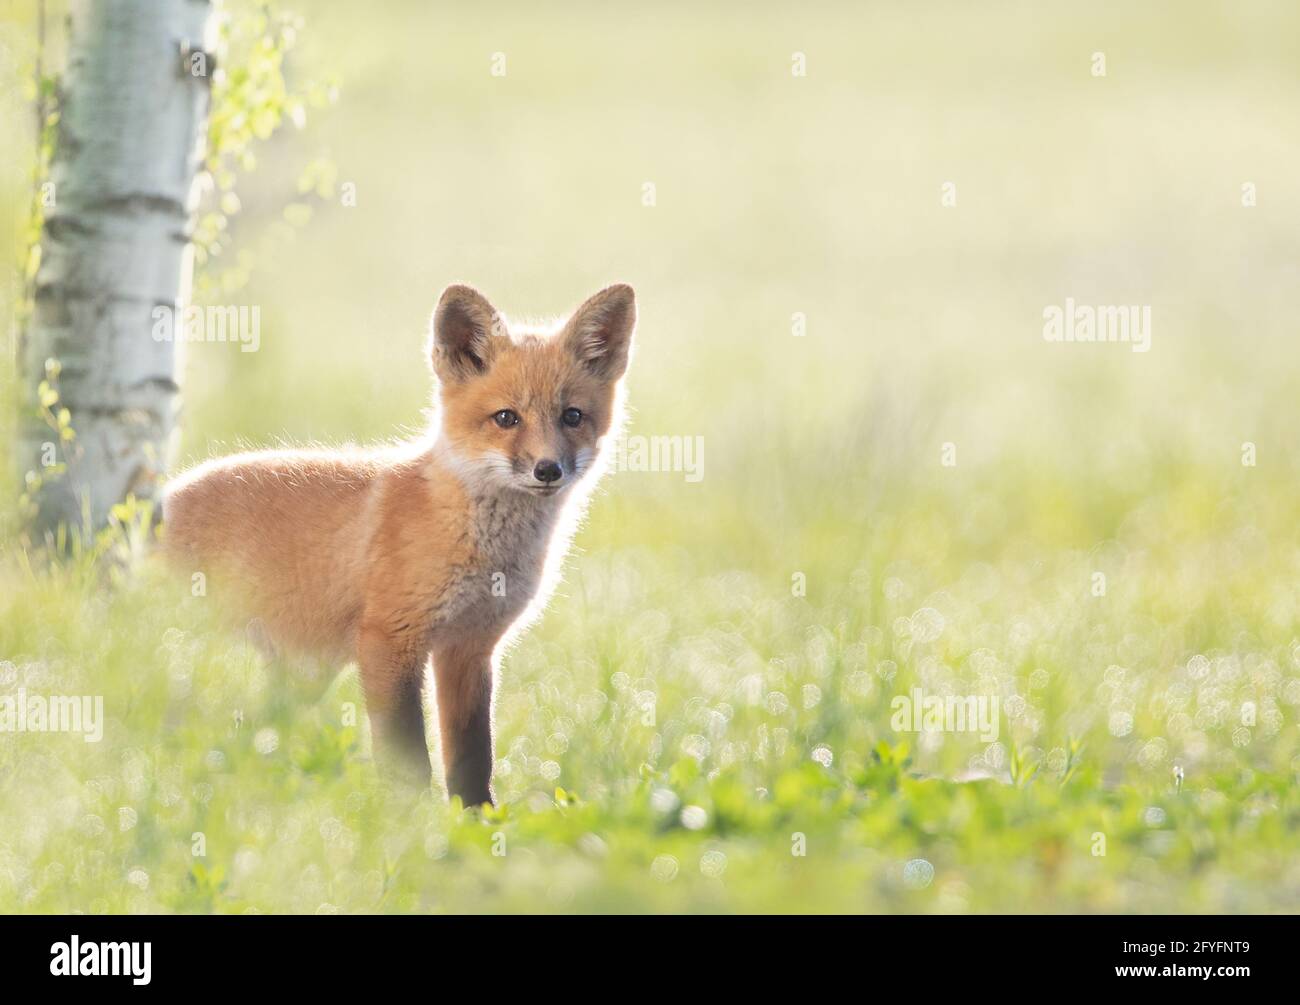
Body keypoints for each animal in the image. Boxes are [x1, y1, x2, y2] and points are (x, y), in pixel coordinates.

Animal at [162, 282, 636, 806]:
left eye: (572, 416)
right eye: (506, 418)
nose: (548, 470)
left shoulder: (469, 649)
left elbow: (472, 759)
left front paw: (477, 822)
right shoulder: (389, 639)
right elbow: (407, 761)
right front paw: (404, 822)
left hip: (299, 677)